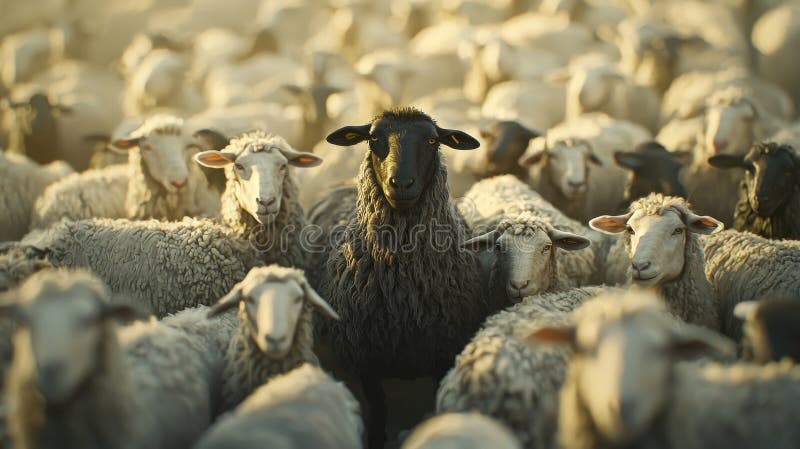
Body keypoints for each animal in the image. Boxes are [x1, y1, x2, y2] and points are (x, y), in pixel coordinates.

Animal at [314, 107, 492, 448]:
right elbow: (379, 411)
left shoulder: (442, 352)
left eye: (432, 140)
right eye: (373, 138)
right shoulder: (366, 360)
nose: (401, 183)